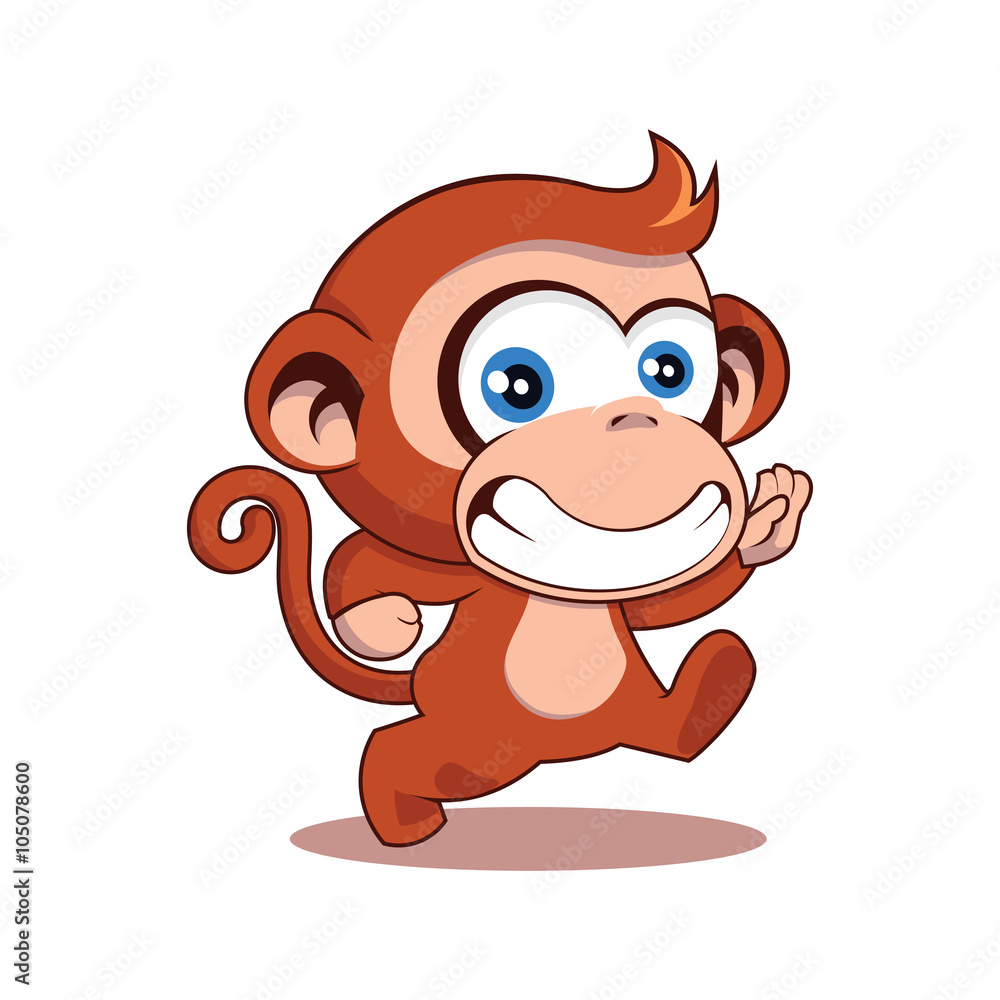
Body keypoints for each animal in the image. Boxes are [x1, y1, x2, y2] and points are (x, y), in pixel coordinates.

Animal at [189, 133, 812, 847]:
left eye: (668, 372)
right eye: (517, 385)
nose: (637, 419)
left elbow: (674, 604)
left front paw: (772, 519)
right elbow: (360, 563)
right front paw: (387, 622)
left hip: (620, 709)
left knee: (666, 733)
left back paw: (713, 688)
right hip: (476, 746)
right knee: (399, 752)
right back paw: (405, 825)